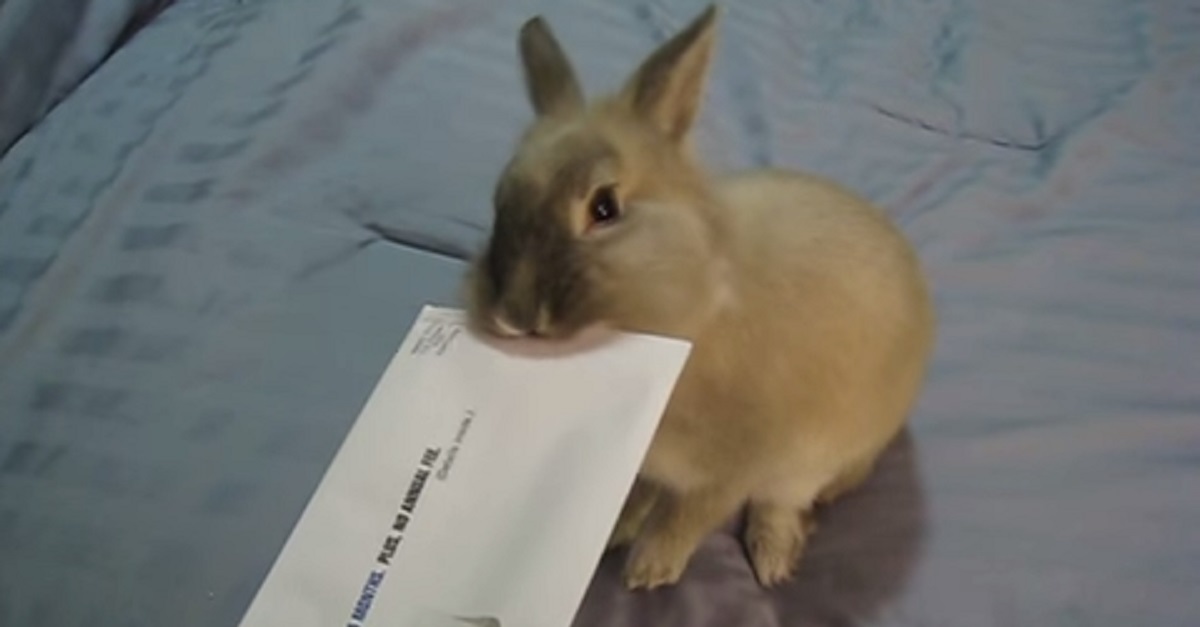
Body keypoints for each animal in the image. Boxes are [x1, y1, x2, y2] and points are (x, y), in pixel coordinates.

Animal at [462, 4, 936, 591]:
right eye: (499, 200)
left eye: (604, 207)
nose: (514, 314)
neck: (697, 308)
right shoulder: (645, 461)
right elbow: (645, 492)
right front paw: (615, 529)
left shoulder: (738, 465)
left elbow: (690, 515)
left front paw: (648, 570)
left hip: (818, 460)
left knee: (783, 503)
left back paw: (772, 559)